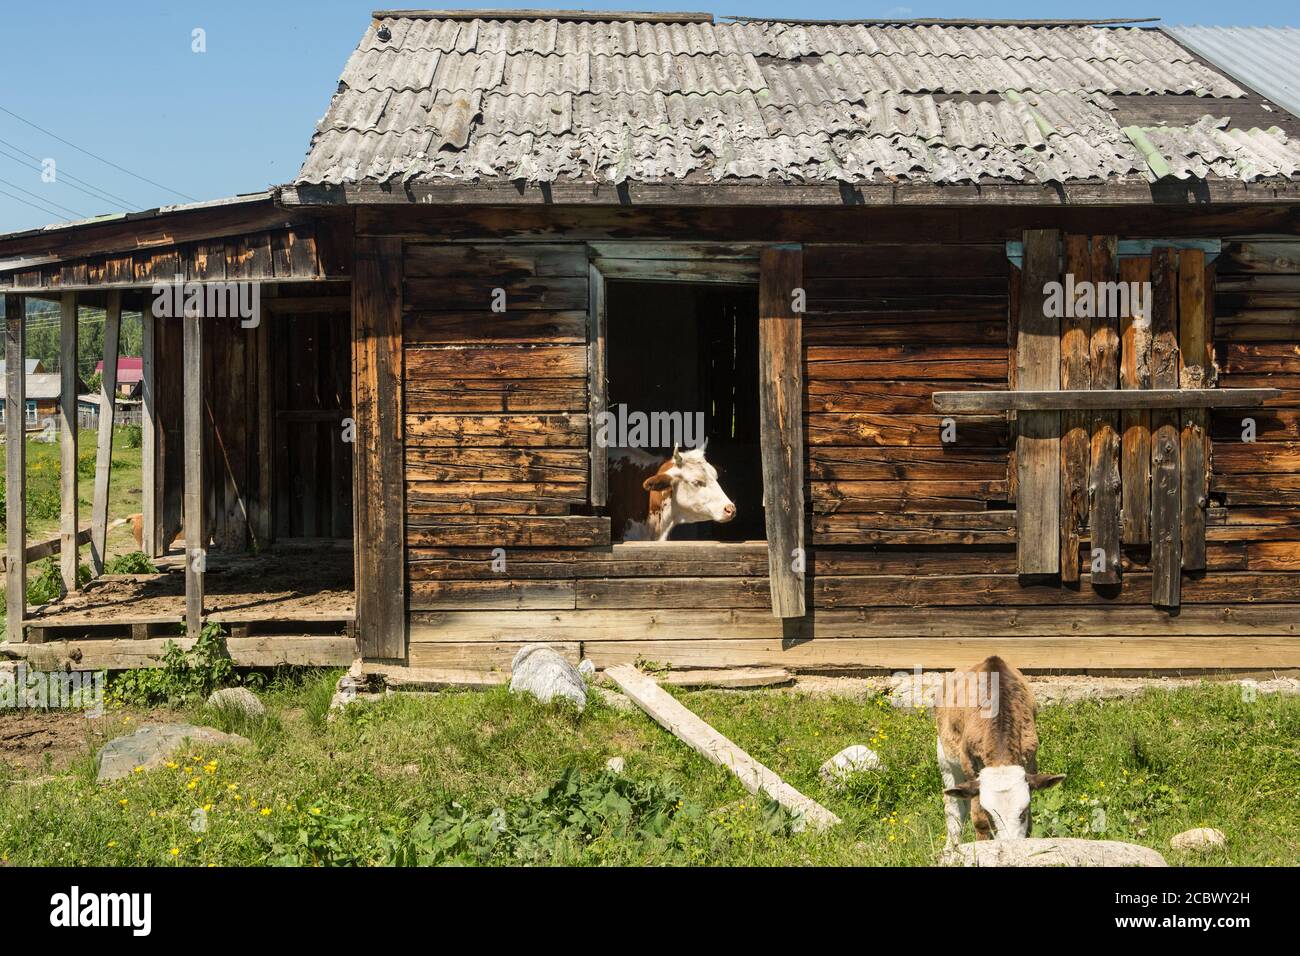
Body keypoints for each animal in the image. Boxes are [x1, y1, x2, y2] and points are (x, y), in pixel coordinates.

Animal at [934, 656, 1065, 846]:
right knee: (954, 807)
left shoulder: (1031, 759)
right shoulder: (968, 764)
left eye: (1023, 812)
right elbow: (979, 820)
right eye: (990, 814)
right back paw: (951, 847)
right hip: (945, 757)